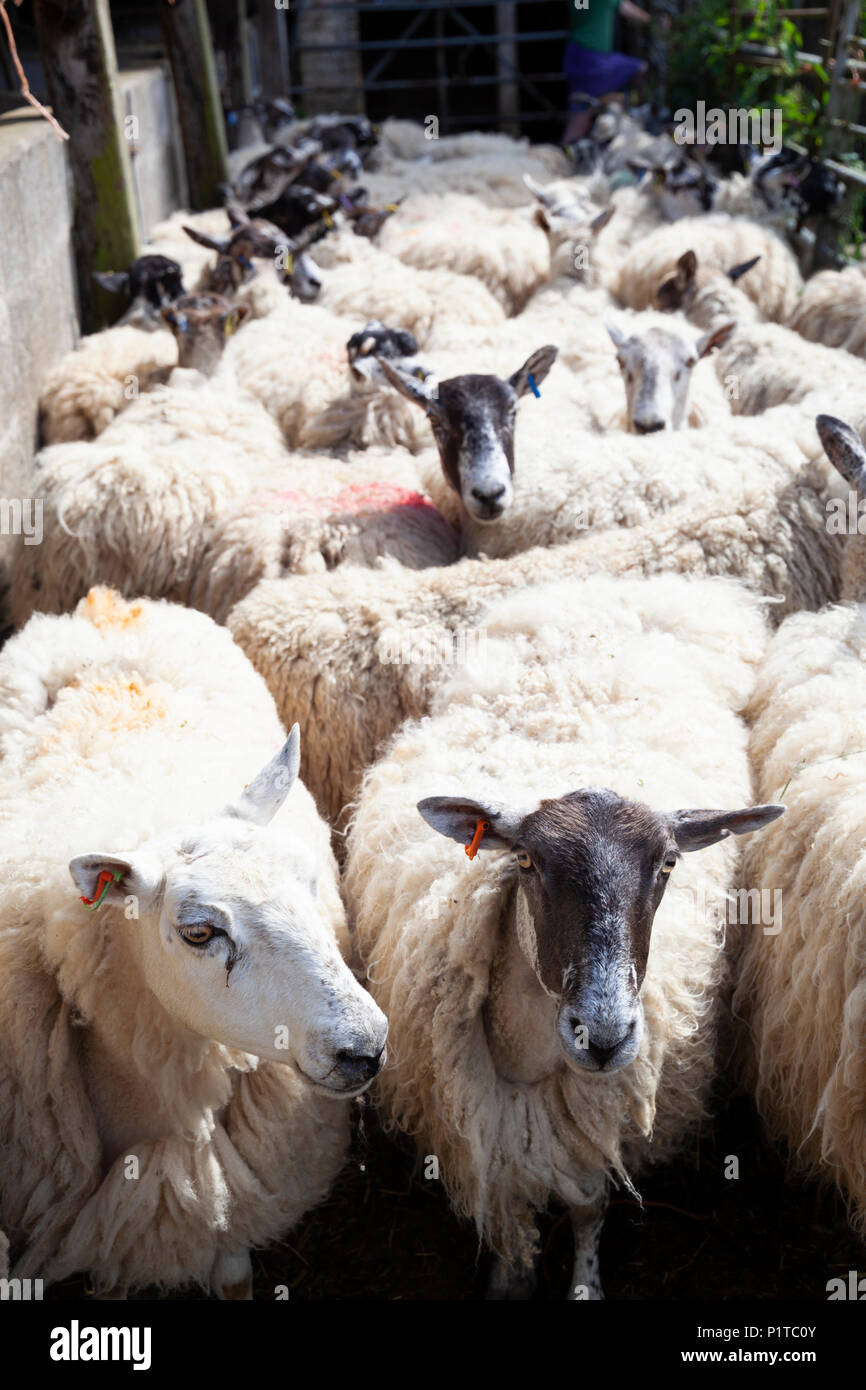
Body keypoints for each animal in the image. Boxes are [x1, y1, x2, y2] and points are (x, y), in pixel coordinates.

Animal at [342, 572, 782, 1296]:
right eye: (526, 860)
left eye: (668, 863)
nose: (603, 1037)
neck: (529, 1061)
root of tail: (610, 585)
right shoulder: (487, 1129)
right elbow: (508, 1210)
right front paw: (509, 1279)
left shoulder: (589, 1119)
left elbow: (588, 1205)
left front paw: (585, 1282)